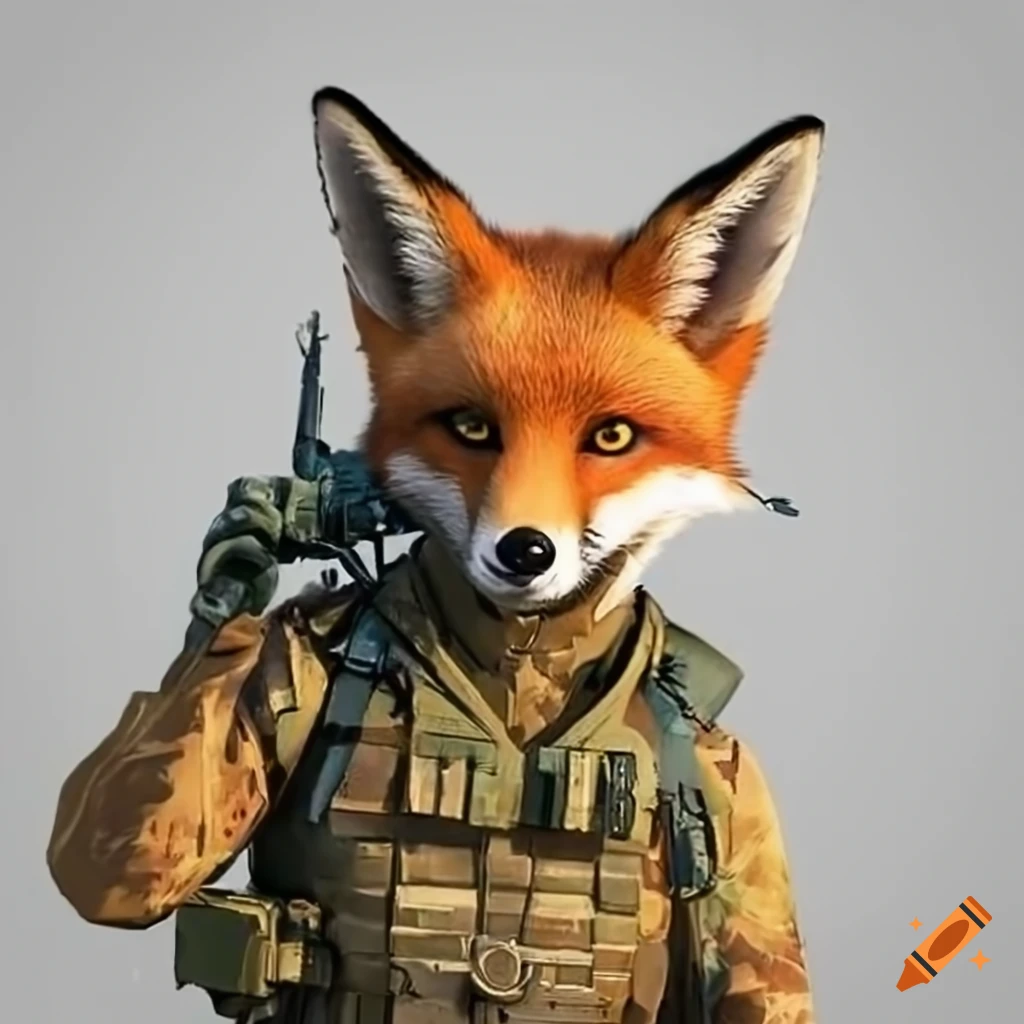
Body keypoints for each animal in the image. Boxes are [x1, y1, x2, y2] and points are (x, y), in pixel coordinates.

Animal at [47, 88, 824, 1024]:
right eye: (471, 427)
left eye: (611, 437)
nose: (526, 552)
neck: (524, 665)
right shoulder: (280, 668)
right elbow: (106, 861)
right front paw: (238, 566)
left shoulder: (732, 780)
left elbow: (753, 972)